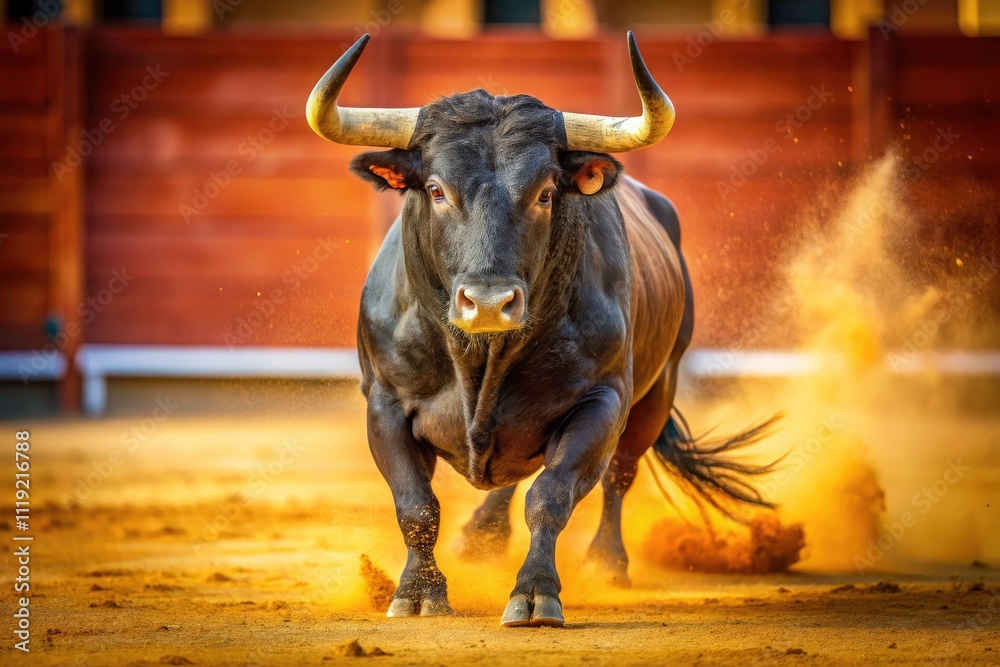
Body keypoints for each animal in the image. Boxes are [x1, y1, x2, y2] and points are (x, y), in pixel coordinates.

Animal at [306, 31, 777, 627]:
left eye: (547, 193)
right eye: (435, 189)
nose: (488, 302)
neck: (480, 361)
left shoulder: (602, 401)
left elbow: (551, 495)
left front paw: (534, 594)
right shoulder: (385, 403)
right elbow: (416, 505)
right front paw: (417, 593)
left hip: (657, 390)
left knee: (619, 475)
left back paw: (606, 564)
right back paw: (480, 539)